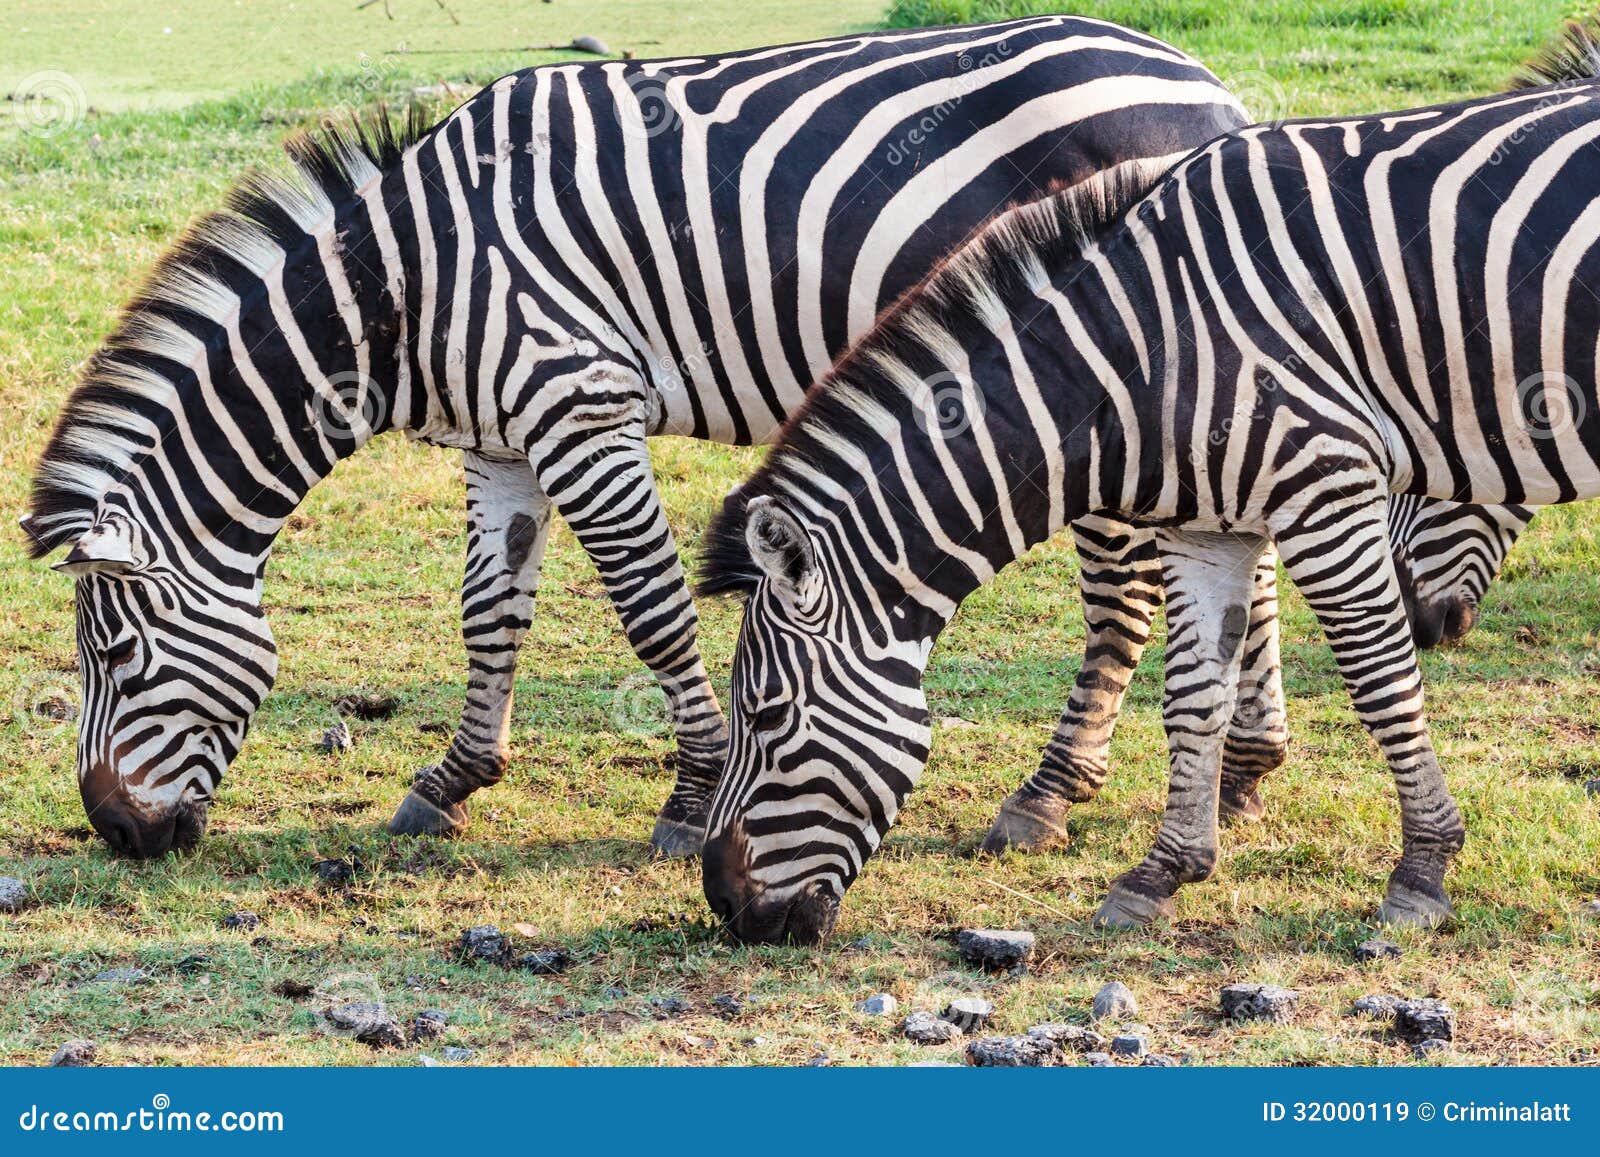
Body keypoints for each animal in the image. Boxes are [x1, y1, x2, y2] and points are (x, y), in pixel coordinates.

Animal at [23, 16, 1256, 859]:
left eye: (116, 659)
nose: (115, 833)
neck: (401, 291)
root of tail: (1207, 91)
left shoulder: (580, 403)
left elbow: (650, 608)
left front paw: (690, 798)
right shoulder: (500, 438)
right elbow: (488, 611)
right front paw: (453, 779)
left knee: (1123, 602)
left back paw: (1047, 795)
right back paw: (1246, 772)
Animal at [696, 71, 1600, 944]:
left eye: (768, 715)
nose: (727, 908)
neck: (1140, 347)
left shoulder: (1325, 482)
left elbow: (1380, 680)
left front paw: (1422, 869)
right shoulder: (1211, 526)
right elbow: (1194, 695)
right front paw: (1161, 874)